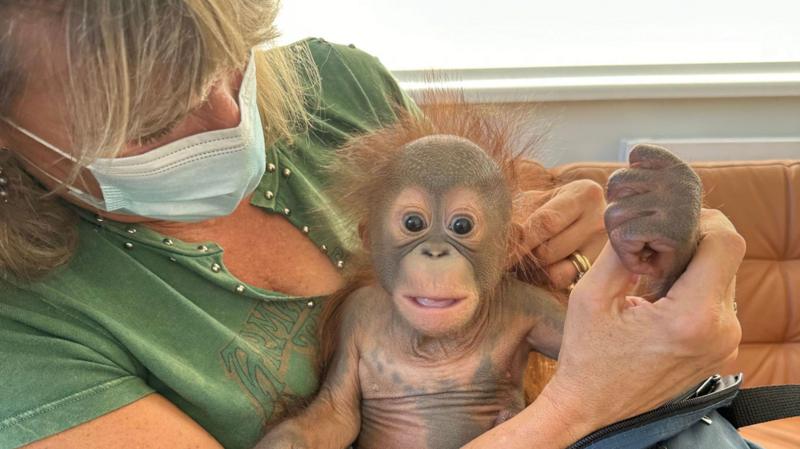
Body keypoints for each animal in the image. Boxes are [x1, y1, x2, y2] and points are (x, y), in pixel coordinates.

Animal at [258, 96, 702, 449]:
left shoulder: (528, 305)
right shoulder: (356, 315)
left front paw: (669, 209)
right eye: (413, 223)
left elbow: (668, 388)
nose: (435, 252)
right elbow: (337, 412)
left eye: (461, 226)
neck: (435, 343)